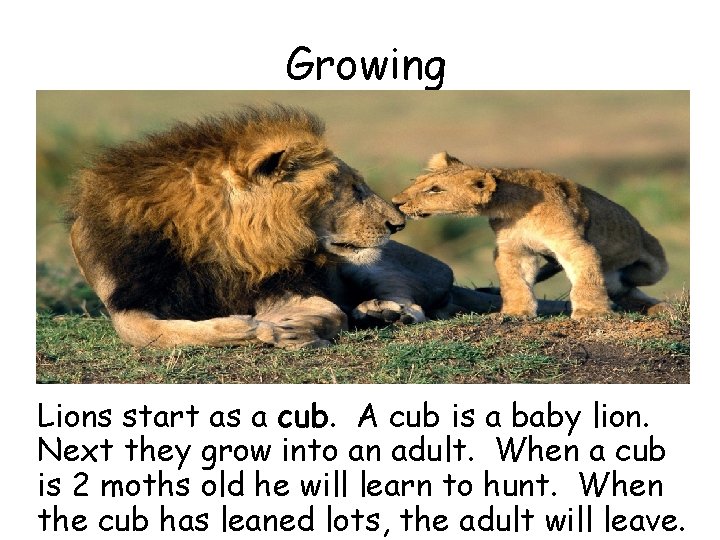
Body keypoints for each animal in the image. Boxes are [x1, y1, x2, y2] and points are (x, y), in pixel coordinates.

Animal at [69, 107, 568, 349]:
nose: (398, 222)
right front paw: (243, 327)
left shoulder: (292, 281)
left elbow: (327, 311)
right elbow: (146, 332)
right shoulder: (124, 300)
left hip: (373, 263)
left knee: (419, 302)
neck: (219, 244)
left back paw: (382, 312)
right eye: (351, 188)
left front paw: (291, 328)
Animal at [392, 152, 669, 319]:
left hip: (653, 265)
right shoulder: (513, 248)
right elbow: (514, 281)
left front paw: (591, 312)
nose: (396, 202)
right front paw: (516, 312)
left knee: (630, 285)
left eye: (435, 190)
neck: (512, 206)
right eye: (416, 182)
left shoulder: (572, 244)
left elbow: (587, 277)